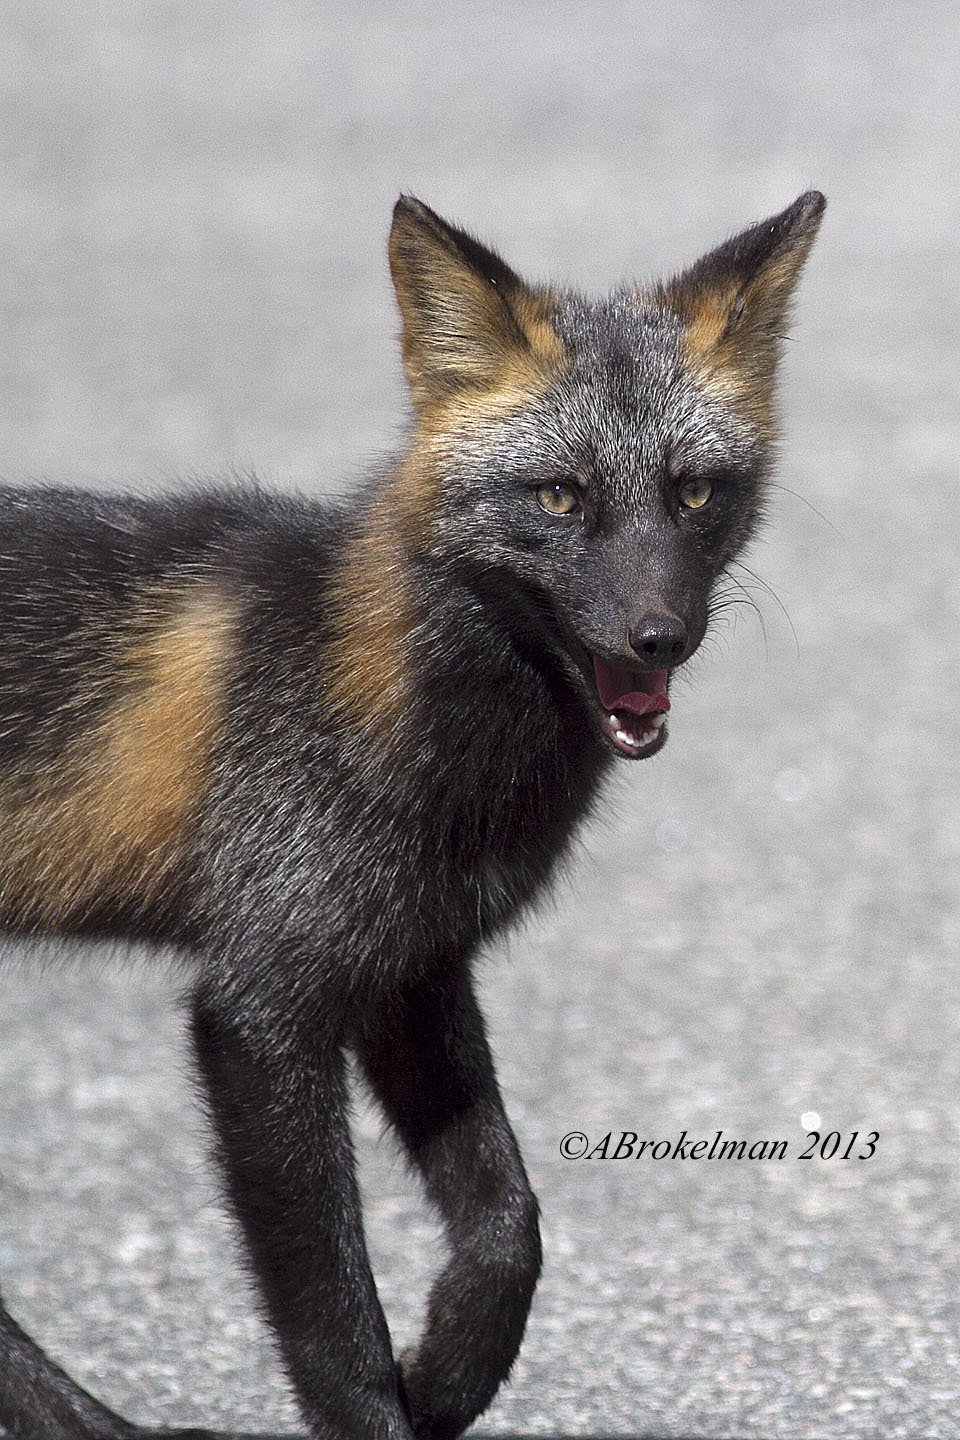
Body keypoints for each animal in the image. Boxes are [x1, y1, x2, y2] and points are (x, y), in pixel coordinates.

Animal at [0, 190, 824, 1440]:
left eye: (694, 491)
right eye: (560, 495)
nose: (659, 639)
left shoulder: (411, 961)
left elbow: (508, 1223)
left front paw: (448, 1373)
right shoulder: (264, 1001)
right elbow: (334, 1324)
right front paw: (388, 1402)